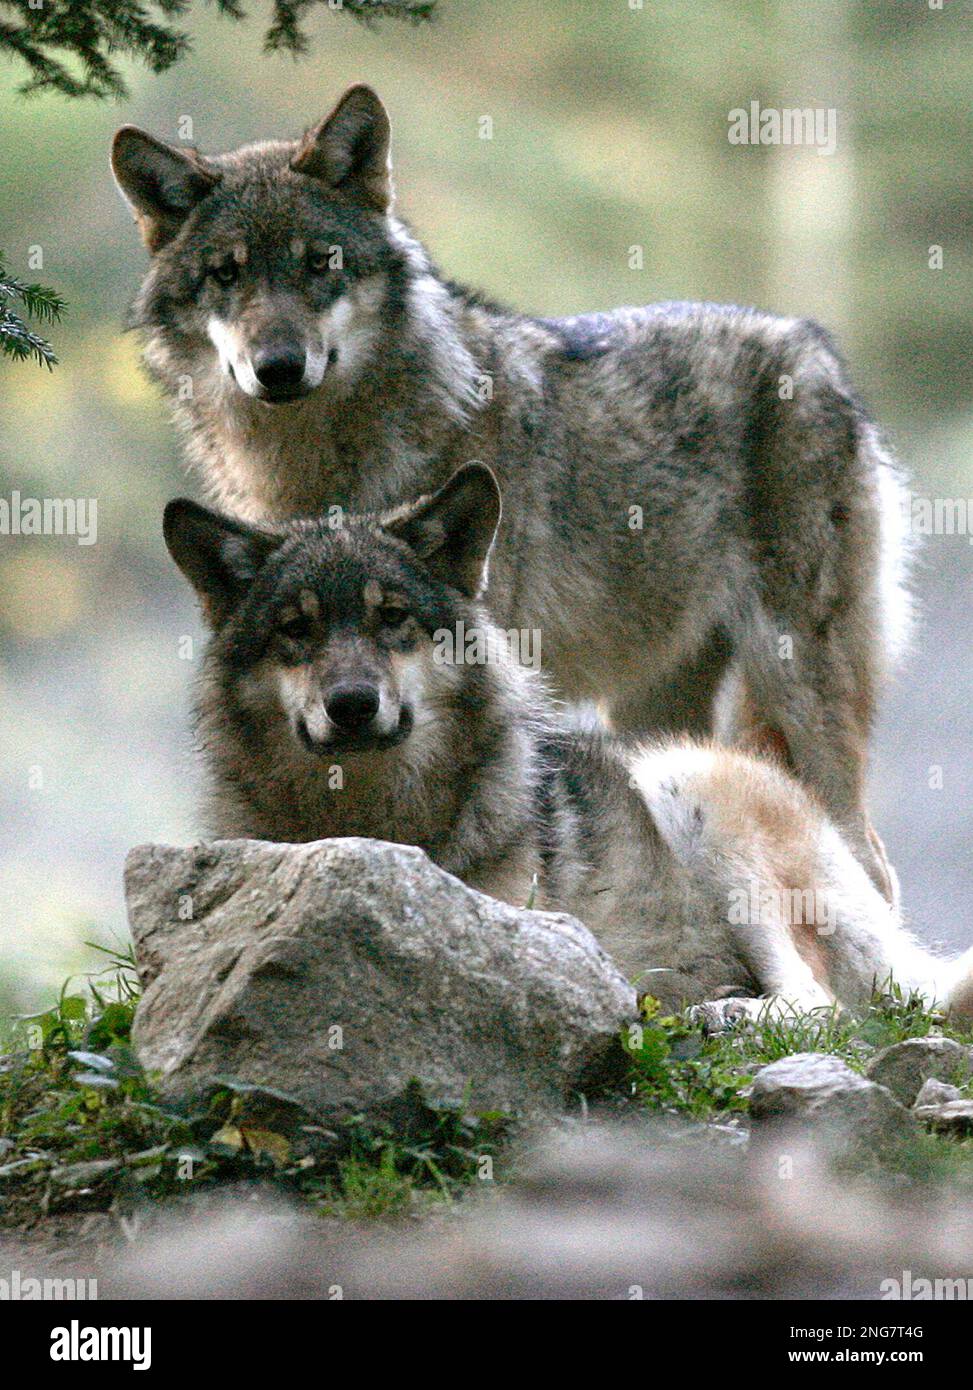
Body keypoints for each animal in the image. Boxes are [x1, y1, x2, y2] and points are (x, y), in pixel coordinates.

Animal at [114, 84, 911, 902]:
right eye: (225, 273)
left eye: (320, 263)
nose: (277, 366)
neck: (314, 463)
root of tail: (812, 345)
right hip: (657, 709)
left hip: (798, 684)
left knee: (866, 852)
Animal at [162, 463, 971, 1024]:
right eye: (295, 630)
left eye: (392, 618)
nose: (354, 705)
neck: (367, 819)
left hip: (685, 783)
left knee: (821, 1010)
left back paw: (721, 1015)